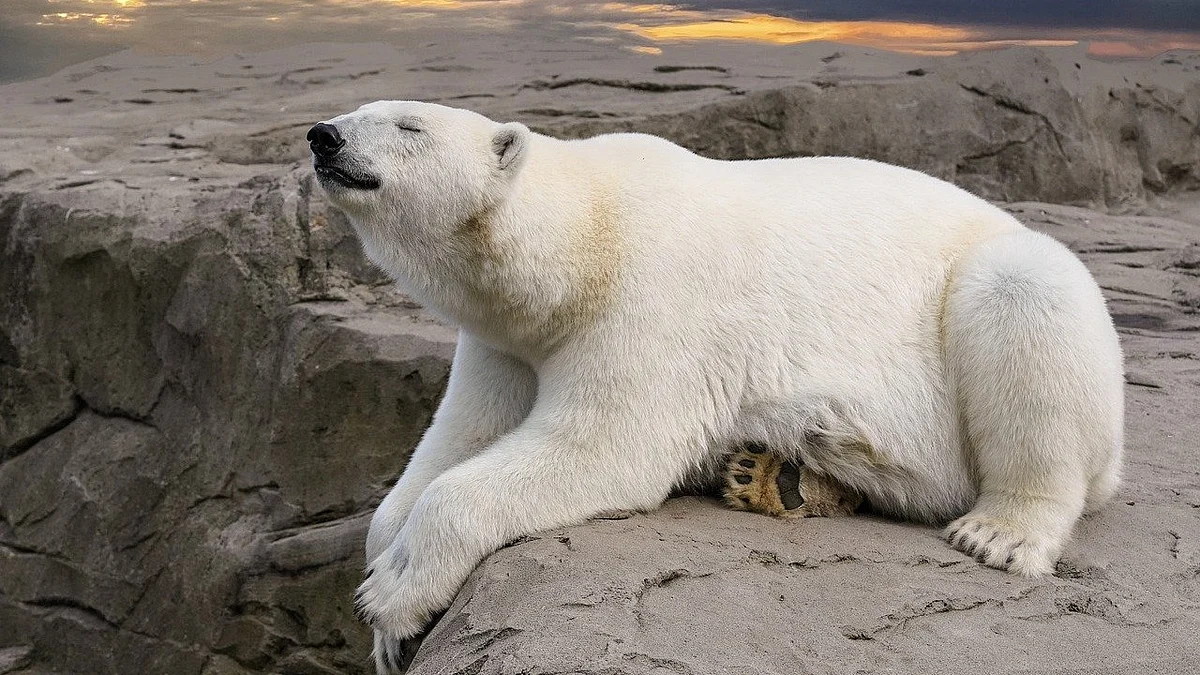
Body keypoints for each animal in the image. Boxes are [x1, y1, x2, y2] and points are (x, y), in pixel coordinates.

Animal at [307, 100, 1124, 673]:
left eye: (408, 125)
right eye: (363, 110)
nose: (323, 136)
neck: (584, 238)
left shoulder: (653, 297)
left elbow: (603, 447)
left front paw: (393, 592)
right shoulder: (505, 340)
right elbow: (458, 439)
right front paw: (387, 612)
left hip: (999, 300)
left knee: (1024, 299)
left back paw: (999, 531)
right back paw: (775, 473)